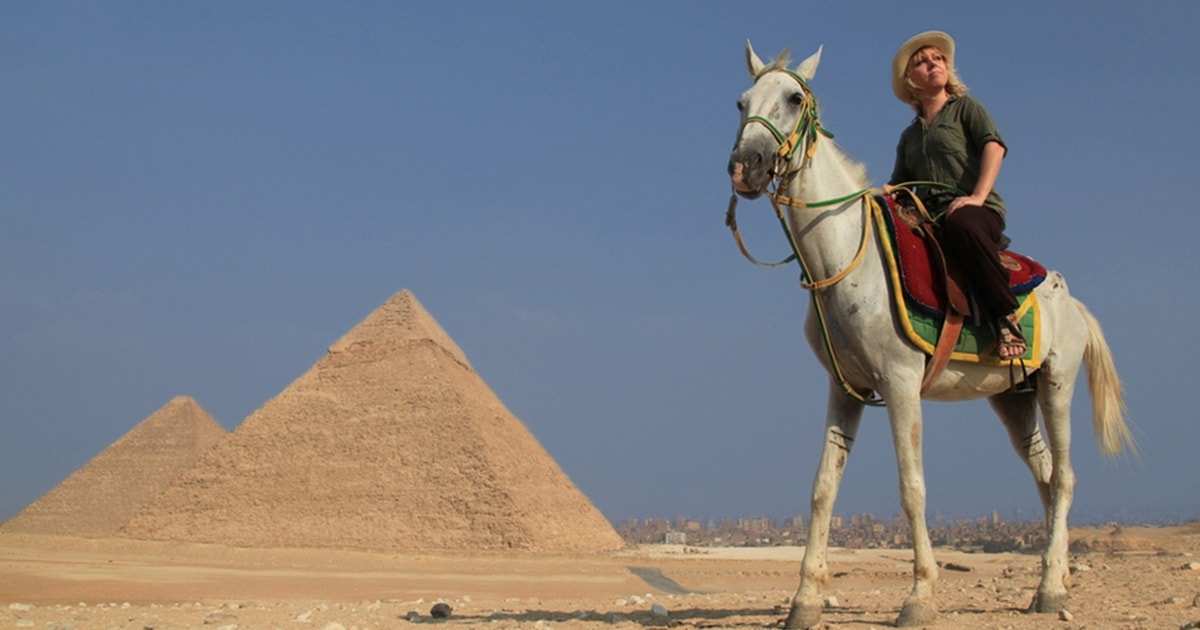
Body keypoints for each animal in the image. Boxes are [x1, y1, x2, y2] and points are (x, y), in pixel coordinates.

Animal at [725, 41, 1135, 629]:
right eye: (741, 101)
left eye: (794, 98)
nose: (746, 166)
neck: (847, 260)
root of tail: (1071, 299)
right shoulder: (846, 389)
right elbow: (823, 488)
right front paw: (804, 601)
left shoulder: (900, 384)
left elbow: (912, 488)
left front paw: (919, 597)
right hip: (1014, 397)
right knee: (1045, 474)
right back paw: (1052, 581)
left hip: (1057, 381)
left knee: (1065, 476)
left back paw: (1052, 591)